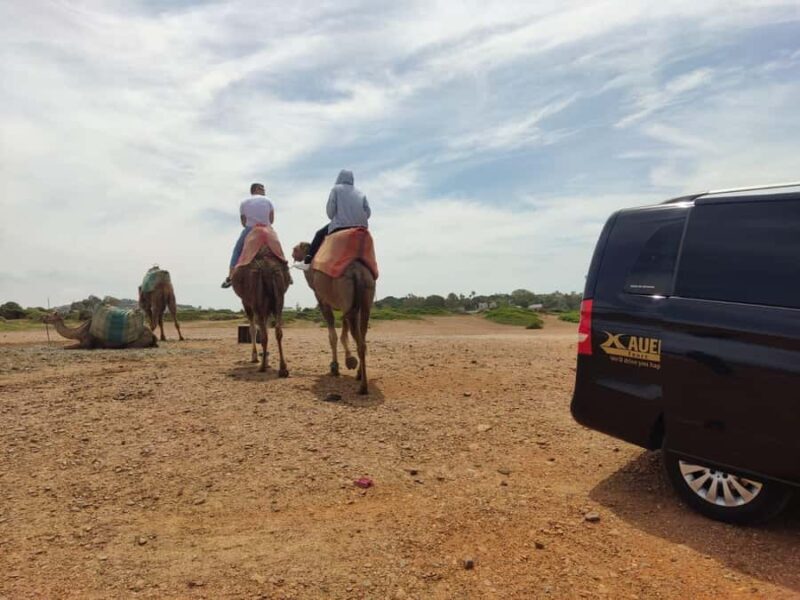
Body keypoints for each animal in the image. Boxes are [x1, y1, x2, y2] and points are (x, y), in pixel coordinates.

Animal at [232, 247, 291, 375]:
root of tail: (267, 268)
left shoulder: (246, 302)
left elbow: (252, 329)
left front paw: (255, 357)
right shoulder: (267, 308)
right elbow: (267, 327)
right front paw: (266, 358)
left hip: (256, 298)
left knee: (263, 334)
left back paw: (262, 367)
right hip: (279, 297)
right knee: (278, 330)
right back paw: (283, 368)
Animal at [292, 242, 375, 394]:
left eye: (296, 248)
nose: (292, 253)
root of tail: (358, 273)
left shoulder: (323, 302)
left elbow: (333, 336)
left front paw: (335, 367)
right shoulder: (344, 307)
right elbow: (343, 333)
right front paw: (350, 360)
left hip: (345, 290)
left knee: (360, 342)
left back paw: (363, 387)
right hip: (367, 295)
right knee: (362, 336)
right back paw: (359, 375)